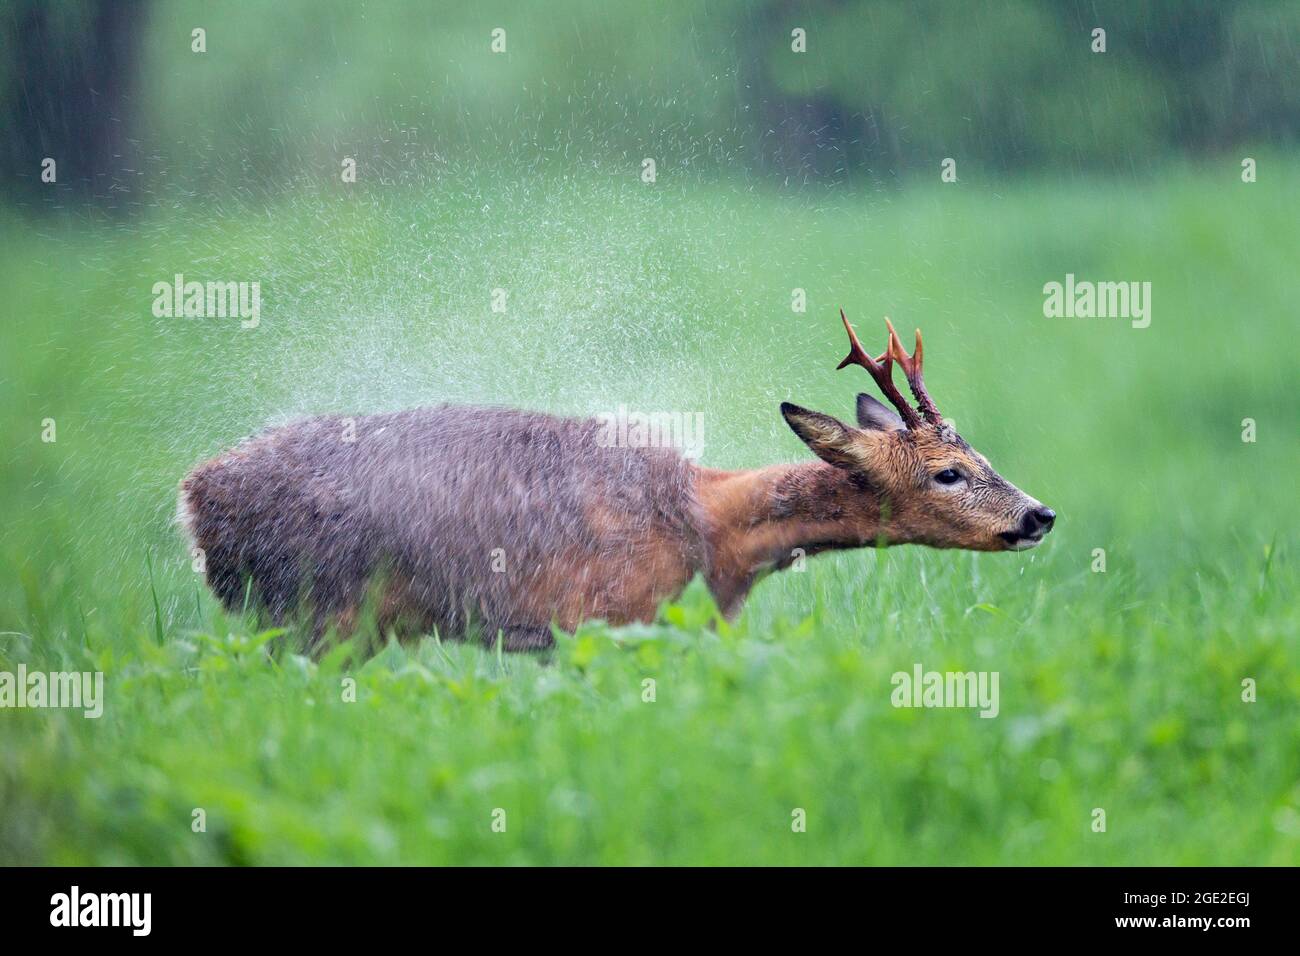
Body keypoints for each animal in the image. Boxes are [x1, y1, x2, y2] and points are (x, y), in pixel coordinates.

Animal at [179, 312, 1055, 651]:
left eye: (981, 457)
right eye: (947, 473)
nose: (1039, 514)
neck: (715, 529)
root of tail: (194, 499)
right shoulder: (598, 618)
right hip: (313, 613)